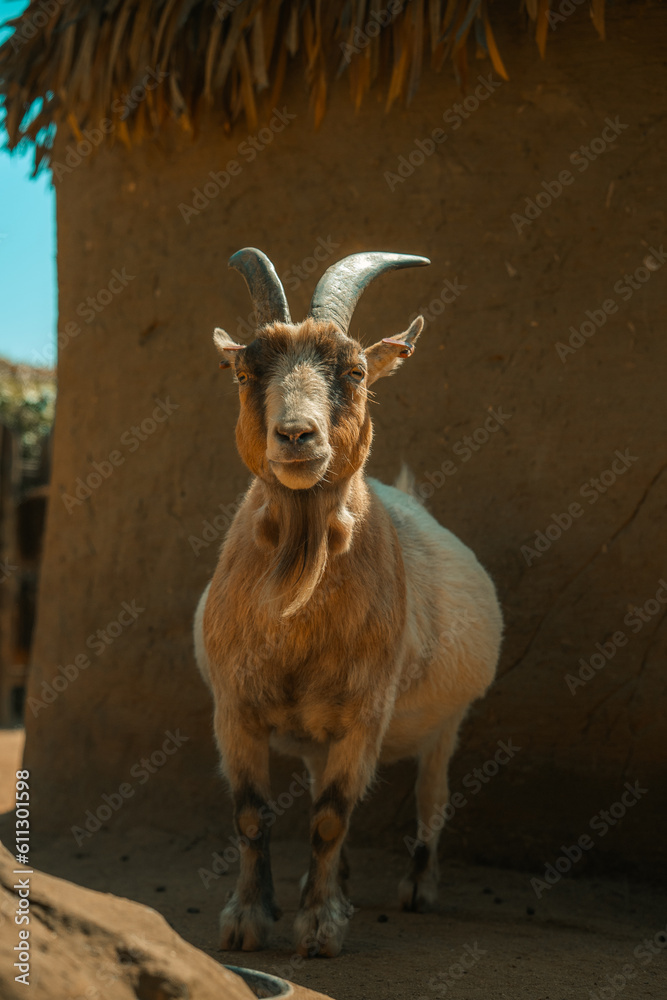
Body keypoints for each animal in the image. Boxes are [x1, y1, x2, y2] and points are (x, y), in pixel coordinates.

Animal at [193, 248, 503, 958]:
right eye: (245, 371)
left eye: (356, 371)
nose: (296, 436)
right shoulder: (236, 709)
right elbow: (251, 814)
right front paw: (248, 919)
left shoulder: (365, 713)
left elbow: (332, 817)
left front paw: (319, 929)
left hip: (447, 723)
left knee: (431, 798)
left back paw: (416, 888)